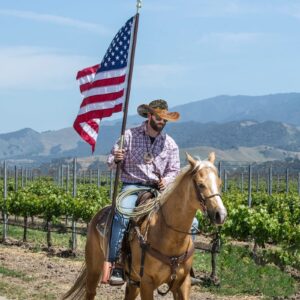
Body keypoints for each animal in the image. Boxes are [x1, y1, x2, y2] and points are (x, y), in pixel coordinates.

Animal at [63, 152, 227, 300]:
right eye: (200, 184)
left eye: (220, 184)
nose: (221, 214)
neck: (168, 236)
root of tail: (99, 214)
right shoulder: (147, 283)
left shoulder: (182, 283)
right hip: (94, 268)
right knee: (90, 292)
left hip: (133, 282)